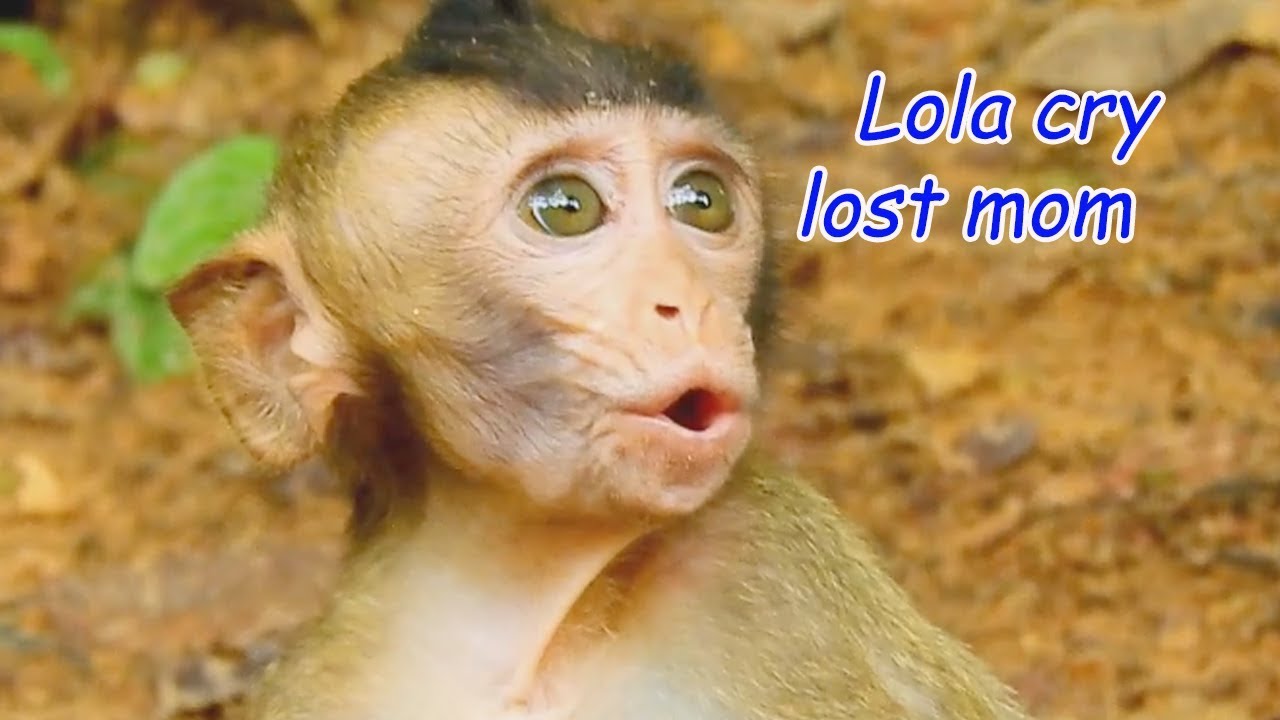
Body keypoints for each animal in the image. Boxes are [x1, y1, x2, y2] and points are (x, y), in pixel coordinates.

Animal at [166, 1, 1035, 718]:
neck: (517, 627)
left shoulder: (771, 573)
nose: (686, 302)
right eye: (567, 208)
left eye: (702, 202)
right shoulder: (325, 681)